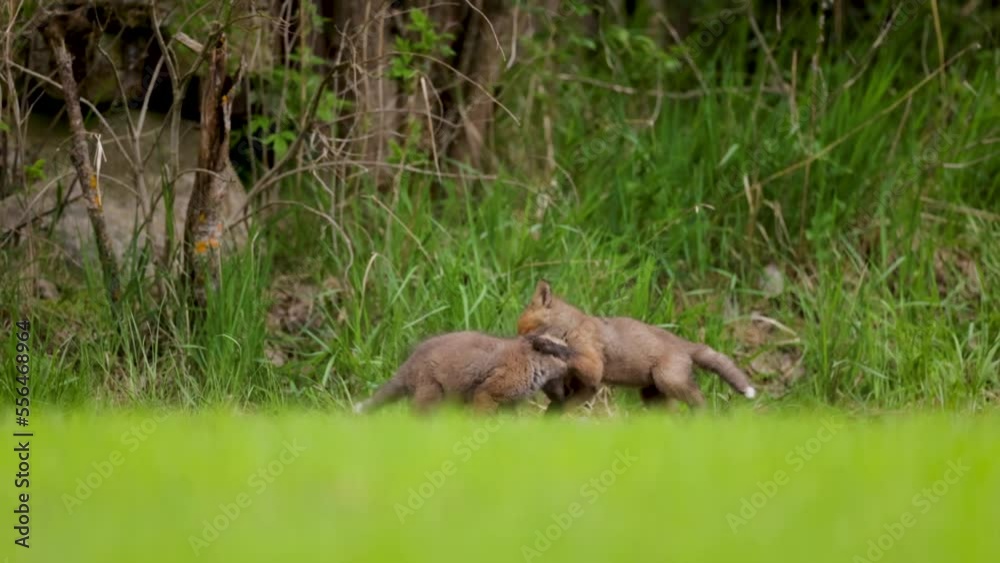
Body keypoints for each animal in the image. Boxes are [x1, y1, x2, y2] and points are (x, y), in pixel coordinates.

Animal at [353, 331, 576, 414]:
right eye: (559, 350)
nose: (576, 353)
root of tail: (408, 364)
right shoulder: (488, 391)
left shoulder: (510, 404)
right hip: (431, 393)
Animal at [516, 280, 757, 412]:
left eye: (524, 330)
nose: (516, 343)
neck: (570, 327)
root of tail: (682, 342)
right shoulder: (588, 386)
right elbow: (560, 406)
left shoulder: (592, 366)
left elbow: (569, 353)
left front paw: (547, 344)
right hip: (652, 396)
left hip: (668, 380)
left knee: (700, 399)